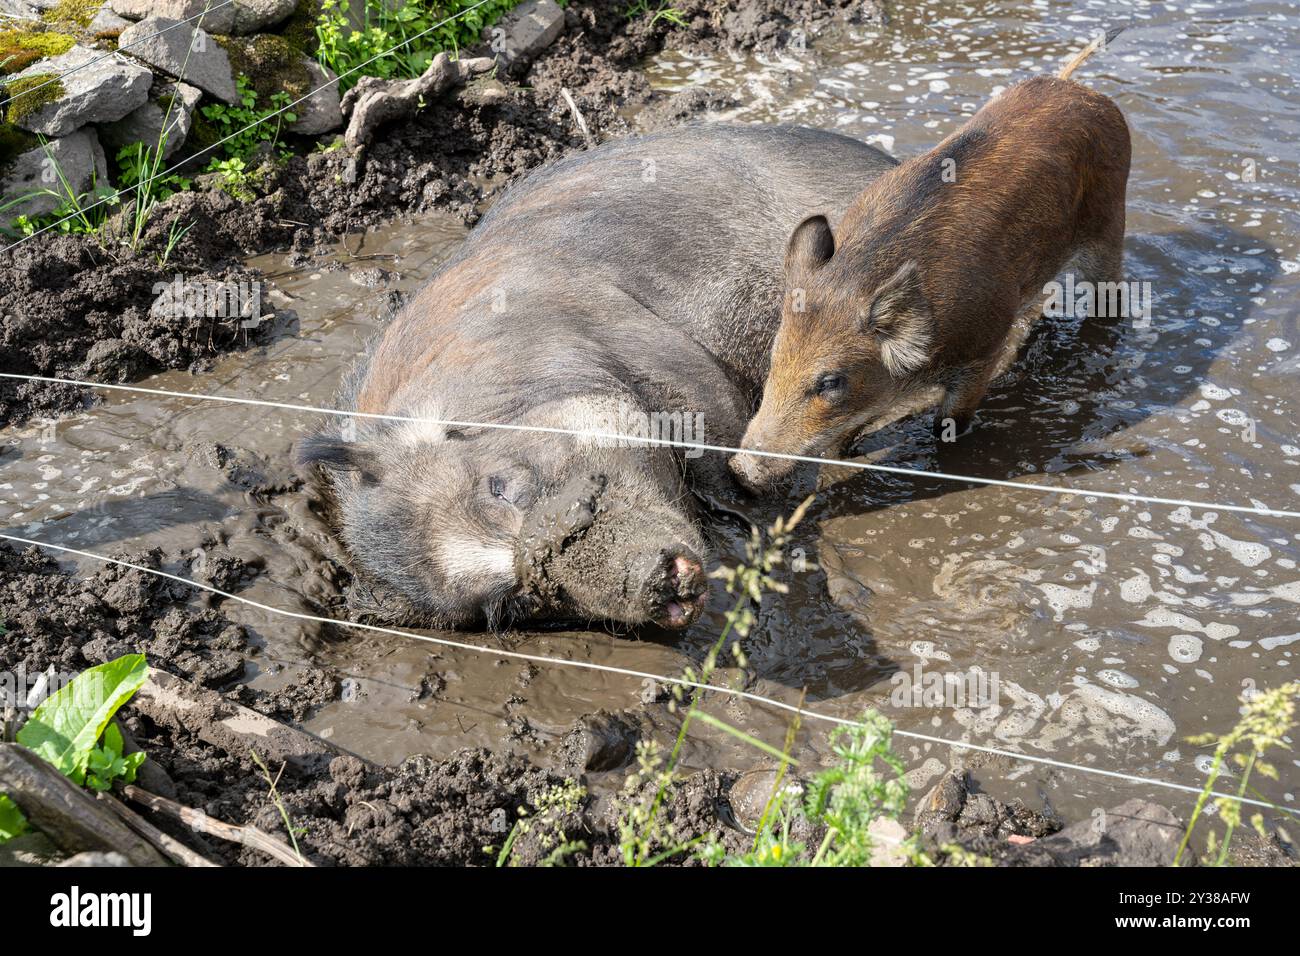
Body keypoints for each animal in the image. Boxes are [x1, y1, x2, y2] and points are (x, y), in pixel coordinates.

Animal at [729, 33, 1131, 493]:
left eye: (831, 382)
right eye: (774, 358)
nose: (739, 471)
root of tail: (1076, 87)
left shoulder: (980, 353)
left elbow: (948, 424)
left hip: (1110, 230)